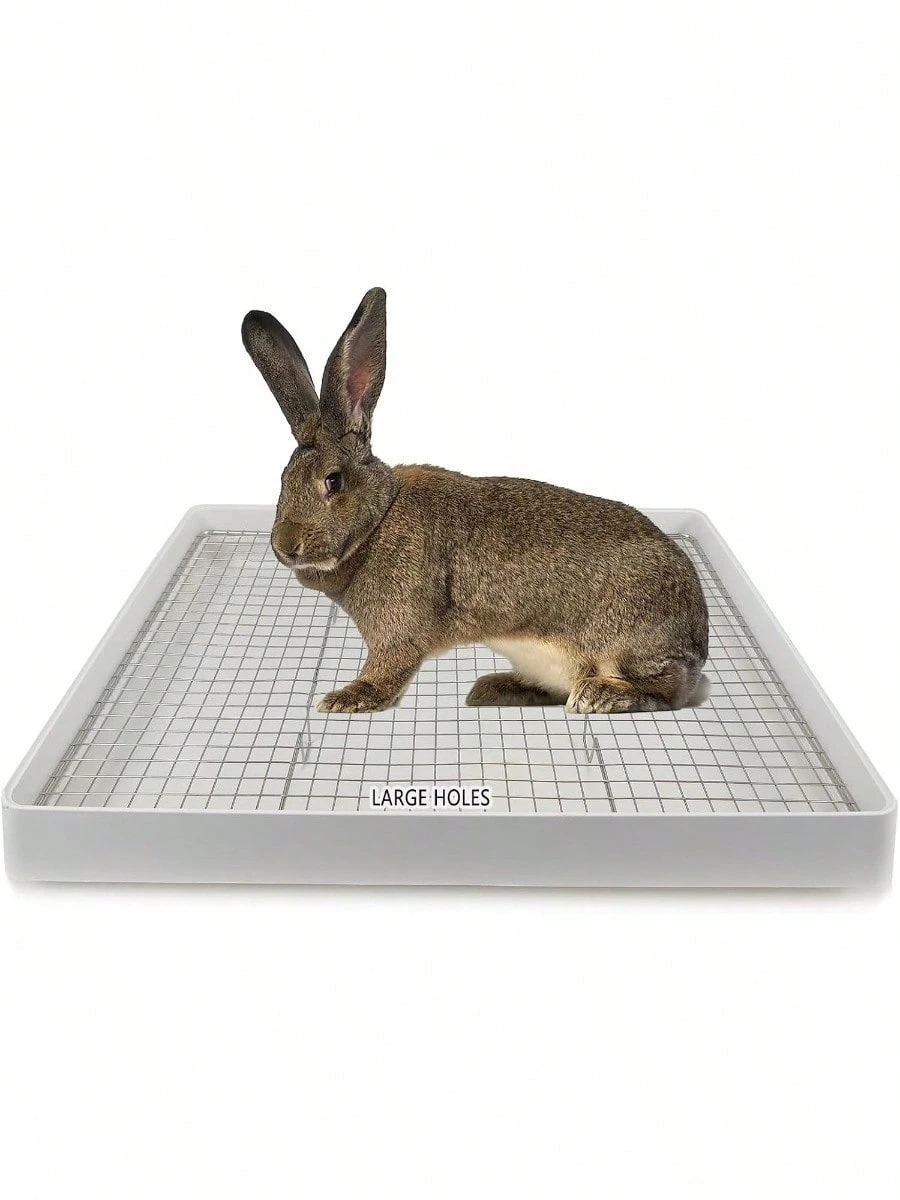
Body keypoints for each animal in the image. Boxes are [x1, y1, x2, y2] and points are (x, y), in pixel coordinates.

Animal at [241, 288, 709, 714]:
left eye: (333, 481)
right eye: (282, 479)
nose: (285, 544)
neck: (379, 519)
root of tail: (698, 637)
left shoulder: (398, 627)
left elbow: (388, 667)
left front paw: (347, 698)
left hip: (625, 644)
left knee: (671, 690)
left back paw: (600, 695)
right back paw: (495, 688)